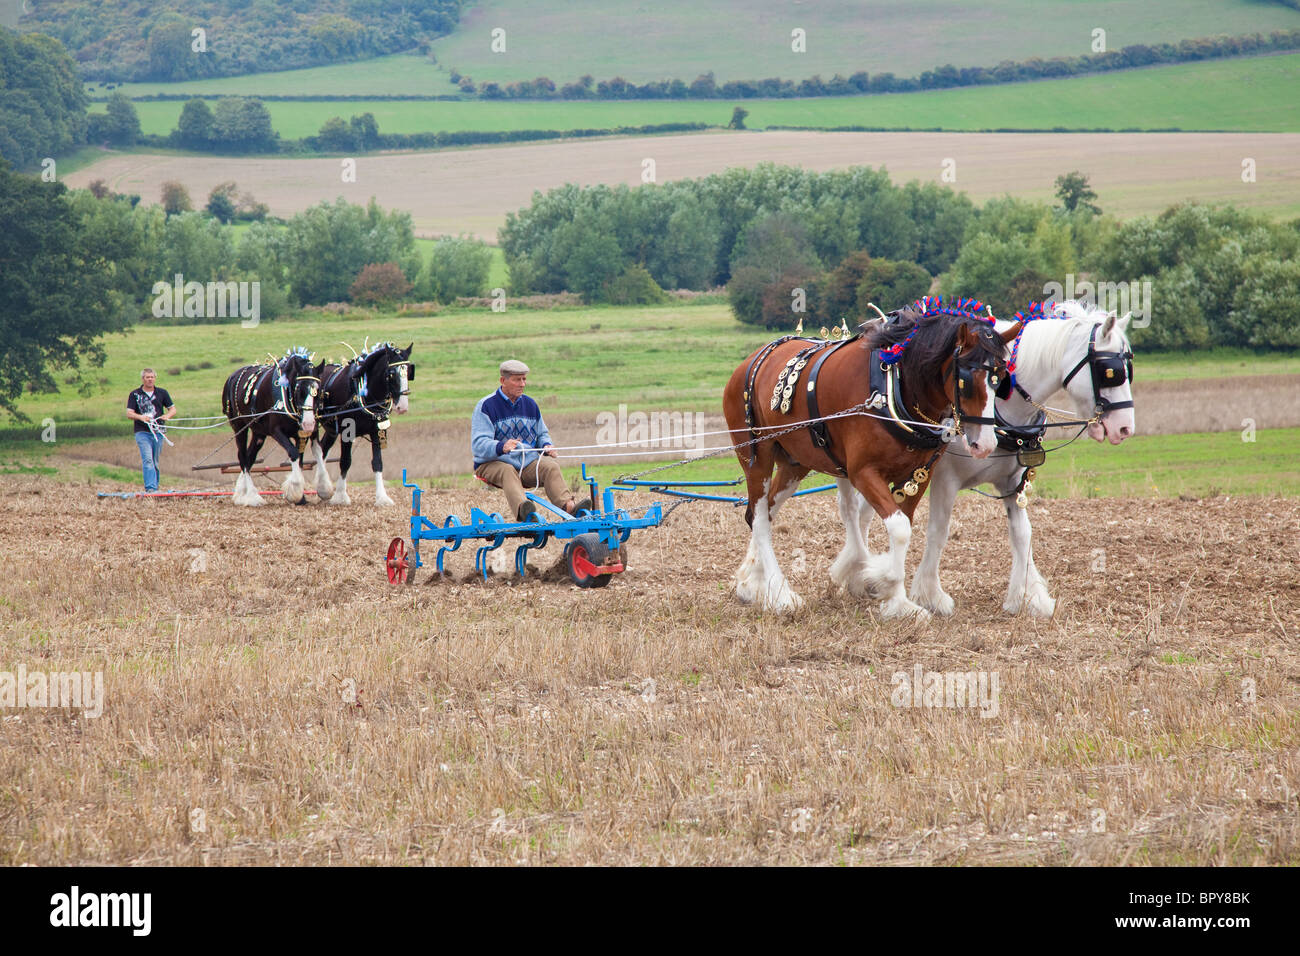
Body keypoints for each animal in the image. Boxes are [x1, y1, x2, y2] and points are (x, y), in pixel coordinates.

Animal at [221, 348, 325, 506]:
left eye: (318, 392)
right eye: (300, 390)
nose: (308, 423)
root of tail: (231, 377)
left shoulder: (303, 435)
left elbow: (303, 460)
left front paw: (302, 496)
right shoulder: (276, 431)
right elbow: (294, 453)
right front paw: (295, 491)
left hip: (259, 433)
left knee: (250, 457)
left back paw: (241, 493)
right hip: (239, 427)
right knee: (243, 457)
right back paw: (251, 496)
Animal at [314, 341, 413, 506]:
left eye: (409, 371)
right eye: (391, 373)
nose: (403, 407)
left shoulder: (377, 431)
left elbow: (377, 462)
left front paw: (382, 497)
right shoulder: (347, 432)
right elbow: (345, 461)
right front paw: (340, 496)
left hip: (331, 430)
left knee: (323, 449)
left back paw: (321, 484)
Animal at [721, 298, 1021, 618]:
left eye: (1001, 379)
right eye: (965, 378)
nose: (985, 443)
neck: (896, 385)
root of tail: (748, 363)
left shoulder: (917, 476)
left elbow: (903, 526)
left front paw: (892, 595)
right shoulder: (862, 473)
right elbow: (899, 530)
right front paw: (890, 590)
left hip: (794, 464)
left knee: (762, 513)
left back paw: (752, 585)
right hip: (756, 458)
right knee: (760, 519)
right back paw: (779, 594)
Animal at [908, 300, 1136, 618]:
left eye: (1129, 368)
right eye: (1110, 372)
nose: (1126, 428)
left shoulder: (1012, 481)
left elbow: (1022, 533)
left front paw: (1029, 597)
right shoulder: (944, 479)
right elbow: (938, 532)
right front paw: (930, 595)